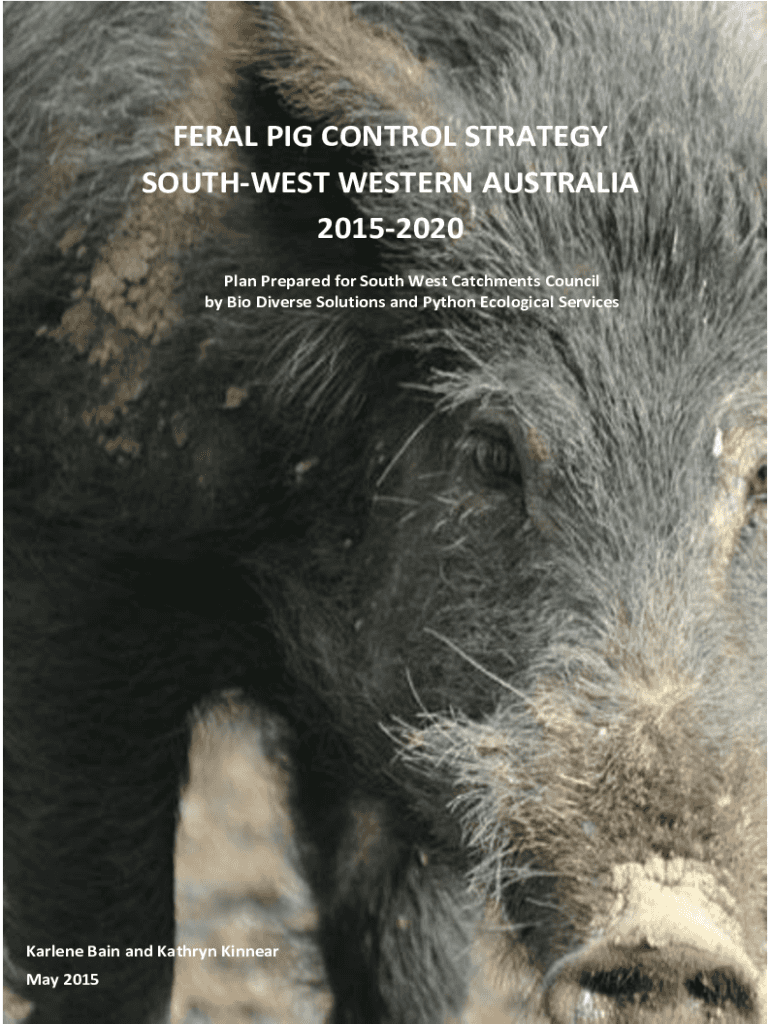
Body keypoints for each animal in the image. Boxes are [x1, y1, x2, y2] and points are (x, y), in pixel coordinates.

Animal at [4, 2, 766, 1022]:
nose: (664, 933)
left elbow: (403, 953)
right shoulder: (75, 571)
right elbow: (113, 950)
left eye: (762, 473)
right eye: (494, 452)